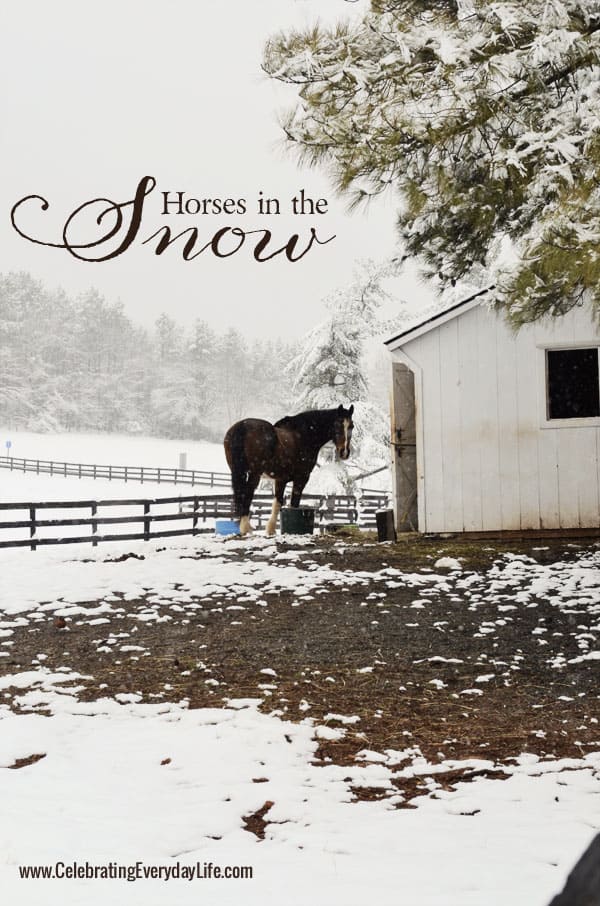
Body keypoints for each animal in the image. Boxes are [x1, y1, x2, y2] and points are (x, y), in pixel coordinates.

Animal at [223, 404, 354, 536]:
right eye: (337, 424)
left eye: (351, 426)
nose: (344, 452)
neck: (305, 435)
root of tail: (242, 426)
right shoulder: (302, 478)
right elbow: (294, 503)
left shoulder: (280, 479)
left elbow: (277, 503)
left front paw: (271, 530)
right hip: (254, 474)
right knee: (247, 494)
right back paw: (246, 529)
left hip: (237, 472)